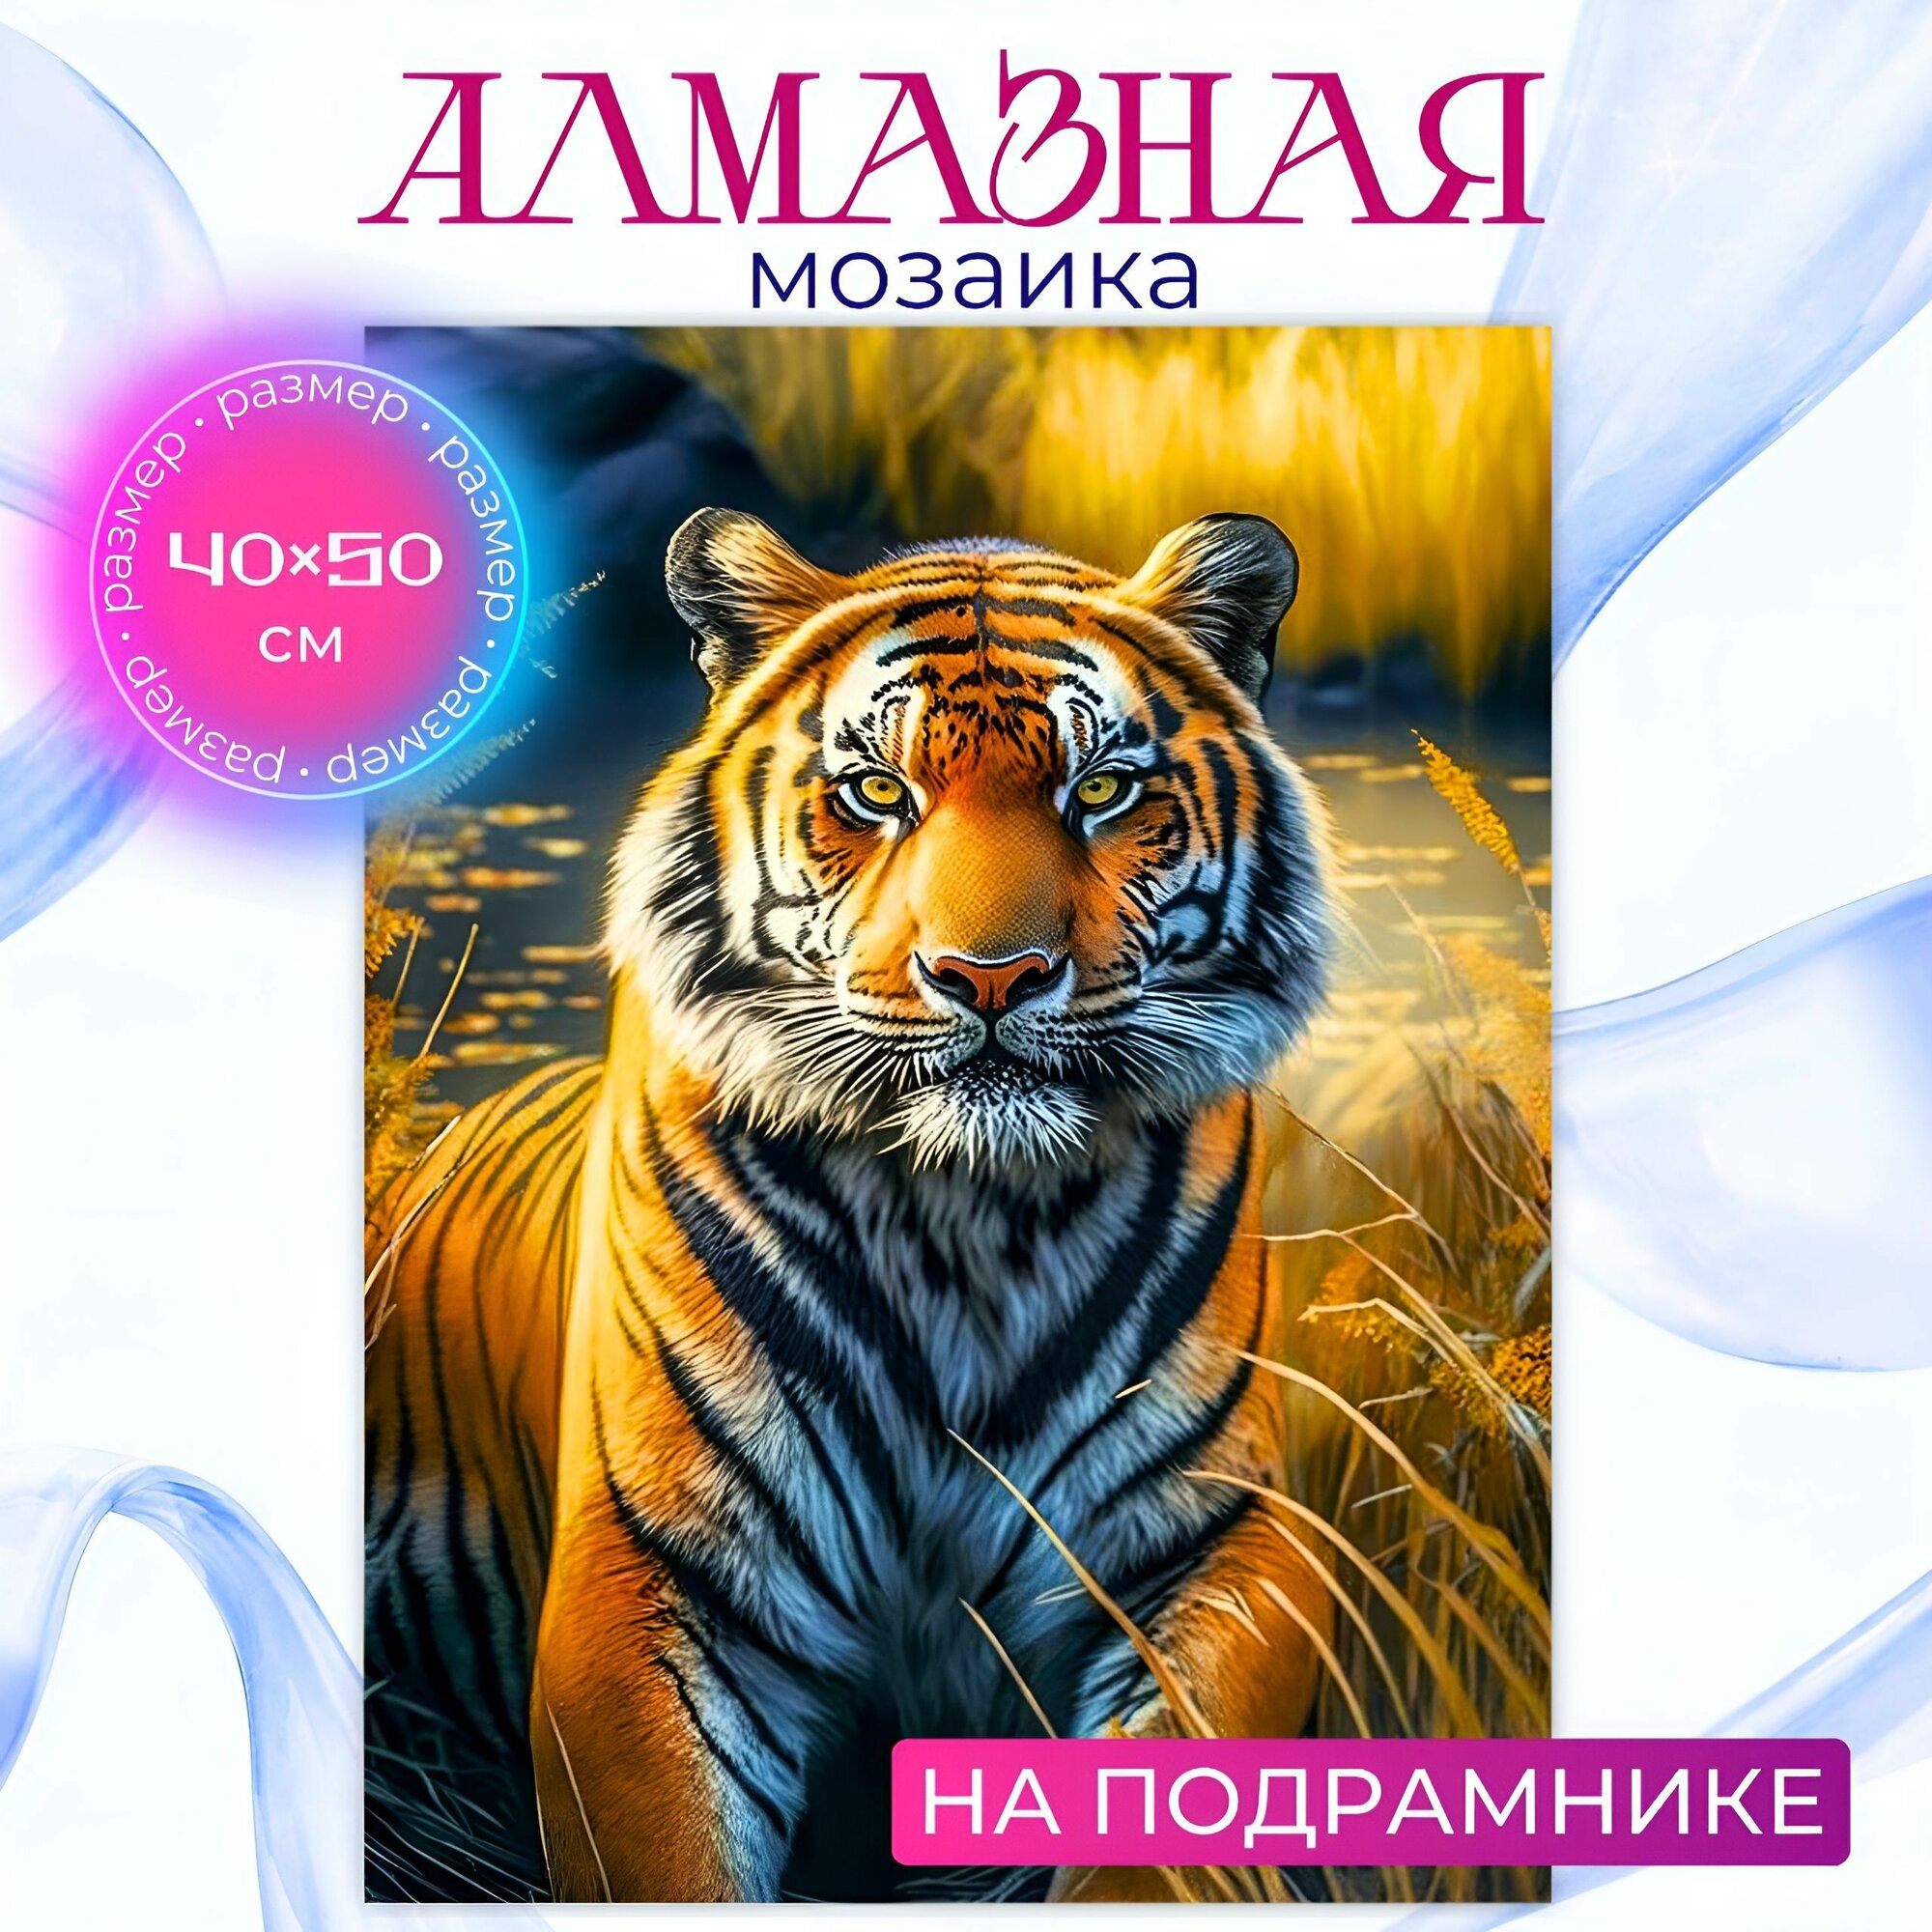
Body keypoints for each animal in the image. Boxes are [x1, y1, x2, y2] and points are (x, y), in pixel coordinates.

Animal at [364, 507, 1337, 1905]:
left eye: (1100, 789)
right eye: (877, 791)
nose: (990, 977)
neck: (968, 1227)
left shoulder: (1220, 1542)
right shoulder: (659, 1571)